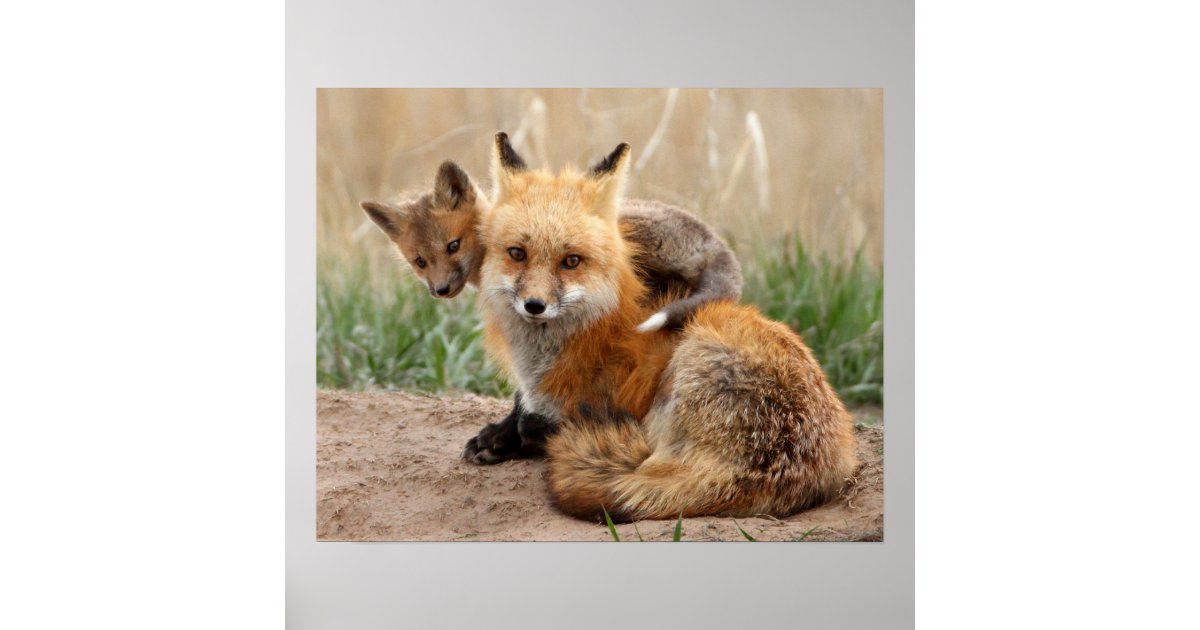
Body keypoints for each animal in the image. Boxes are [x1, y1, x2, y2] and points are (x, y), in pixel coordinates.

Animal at [360, 156, 743, 463]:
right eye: (420, 261)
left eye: (453, 245)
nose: (440, 290)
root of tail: (716, 242)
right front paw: (504, 436)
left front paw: (510, 437)